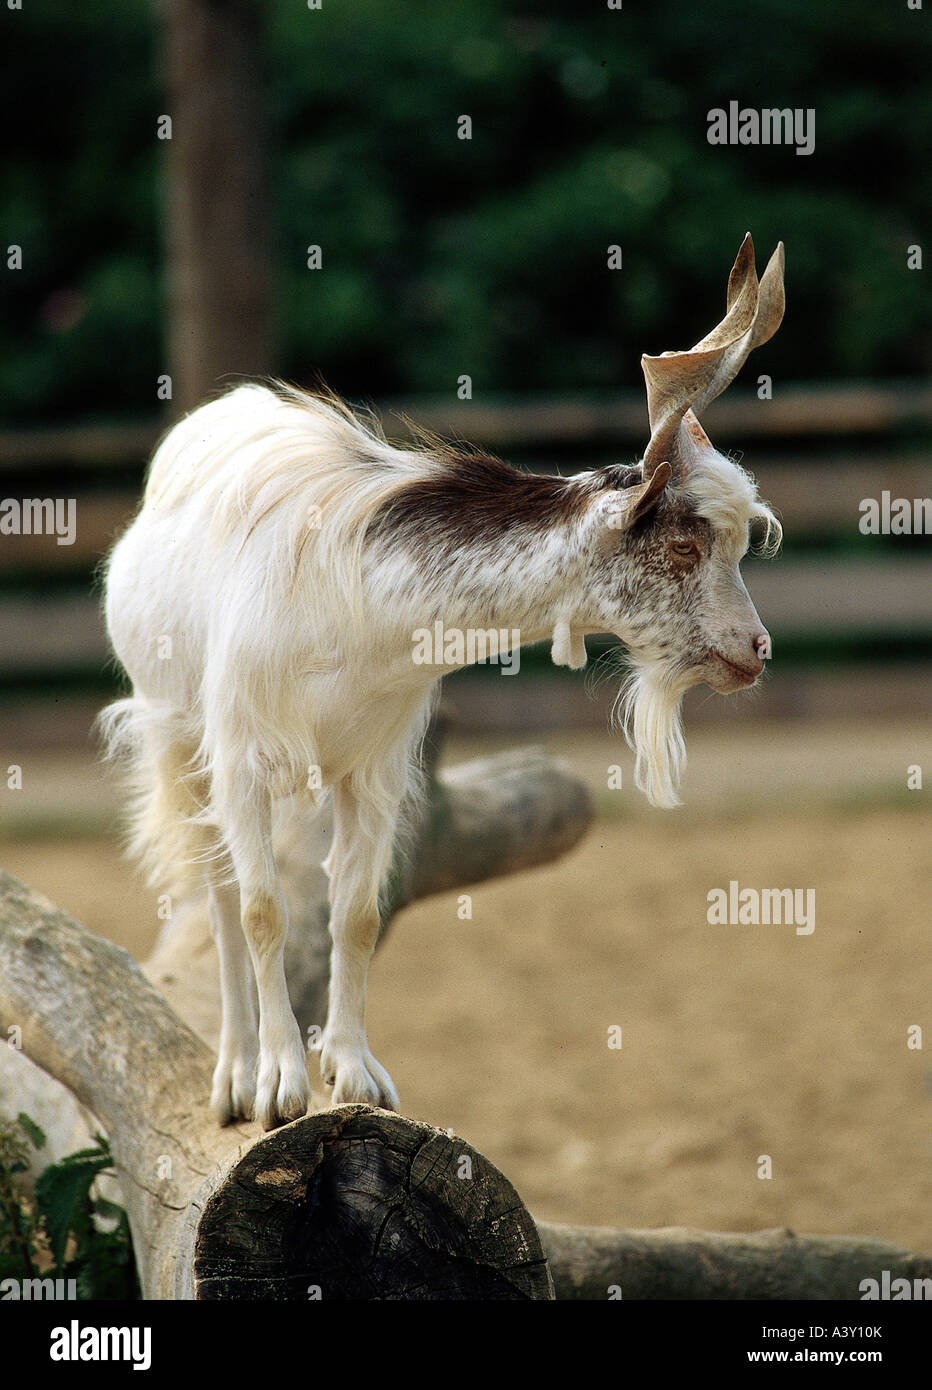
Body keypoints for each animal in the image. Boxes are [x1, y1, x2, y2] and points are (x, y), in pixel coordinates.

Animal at [101, 233, 785, 1130]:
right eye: (680, 547)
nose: (756, 650)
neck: (359, 616)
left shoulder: (377, 765)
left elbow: (356, 913)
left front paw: (356, 1074)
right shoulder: (241, 750)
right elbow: (260, 910)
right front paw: (283, 1082)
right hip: (176, 732)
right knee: (214, 895)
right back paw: (236, 1075)